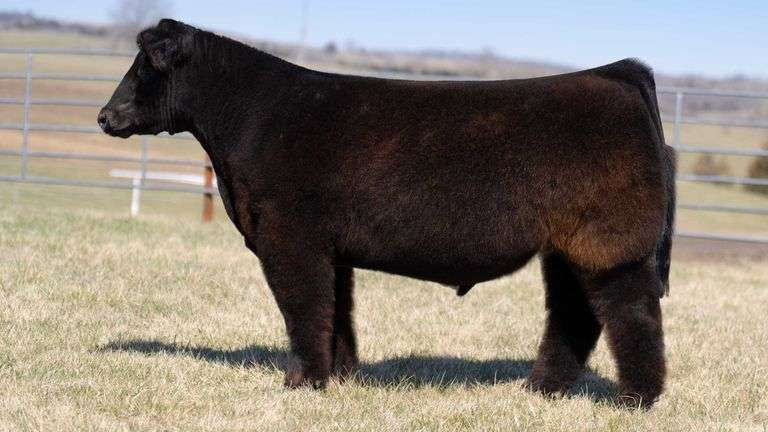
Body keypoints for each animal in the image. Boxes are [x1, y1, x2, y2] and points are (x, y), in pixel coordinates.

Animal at [99, 19, 676, 408]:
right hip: (566, 248)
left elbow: (303, 308)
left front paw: (302, 381)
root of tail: (614, 74)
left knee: (633, 314)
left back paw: (635, 400)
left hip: (612, 246)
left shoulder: (290, 238)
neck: (251, 119)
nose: (105, 116)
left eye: (145, 66)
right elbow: (336, 311)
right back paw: (540, 390)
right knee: (574, 315)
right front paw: (341, 376)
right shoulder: (331, 249)